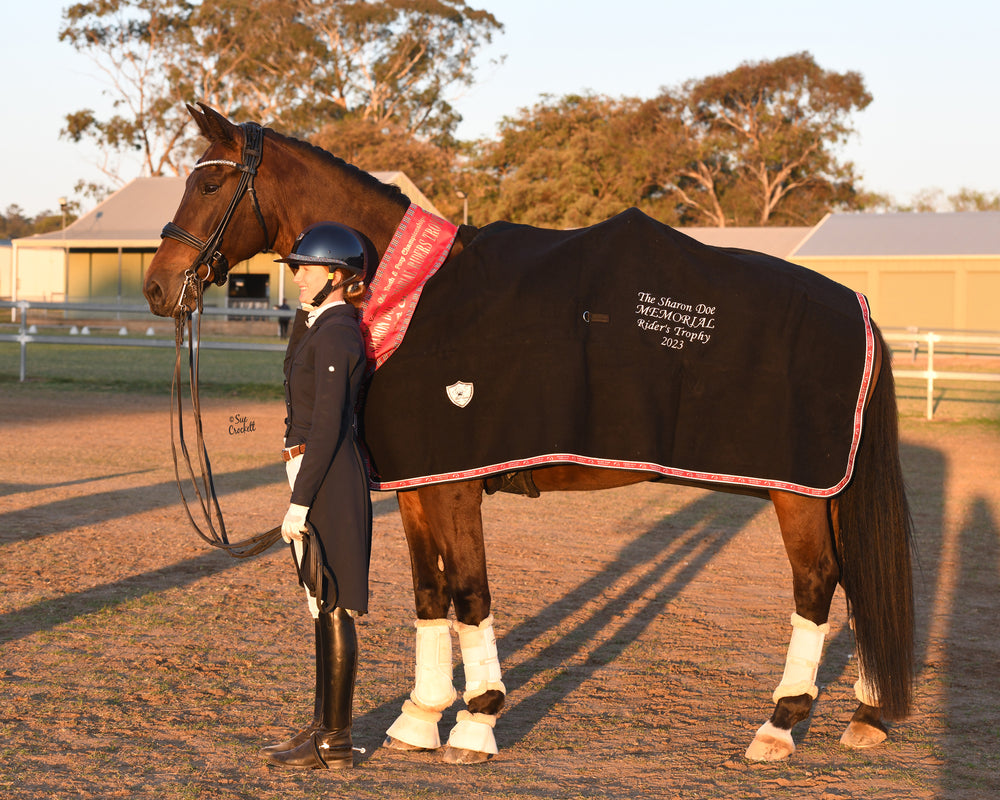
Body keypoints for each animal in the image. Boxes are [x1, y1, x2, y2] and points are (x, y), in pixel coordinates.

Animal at [143, 103, 914, 765]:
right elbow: (428, 595)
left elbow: (470, 592)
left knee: (818, 585)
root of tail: (854, 306)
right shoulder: (419, 487)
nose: (157, 286)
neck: (410, 295)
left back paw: (780, 725)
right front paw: (420, 717)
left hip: (800, 493)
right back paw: (868, 713)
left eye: (209, 182)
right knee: (856, 580)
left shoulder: (454, 487)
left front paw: (476, 721)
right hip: (825, 492)